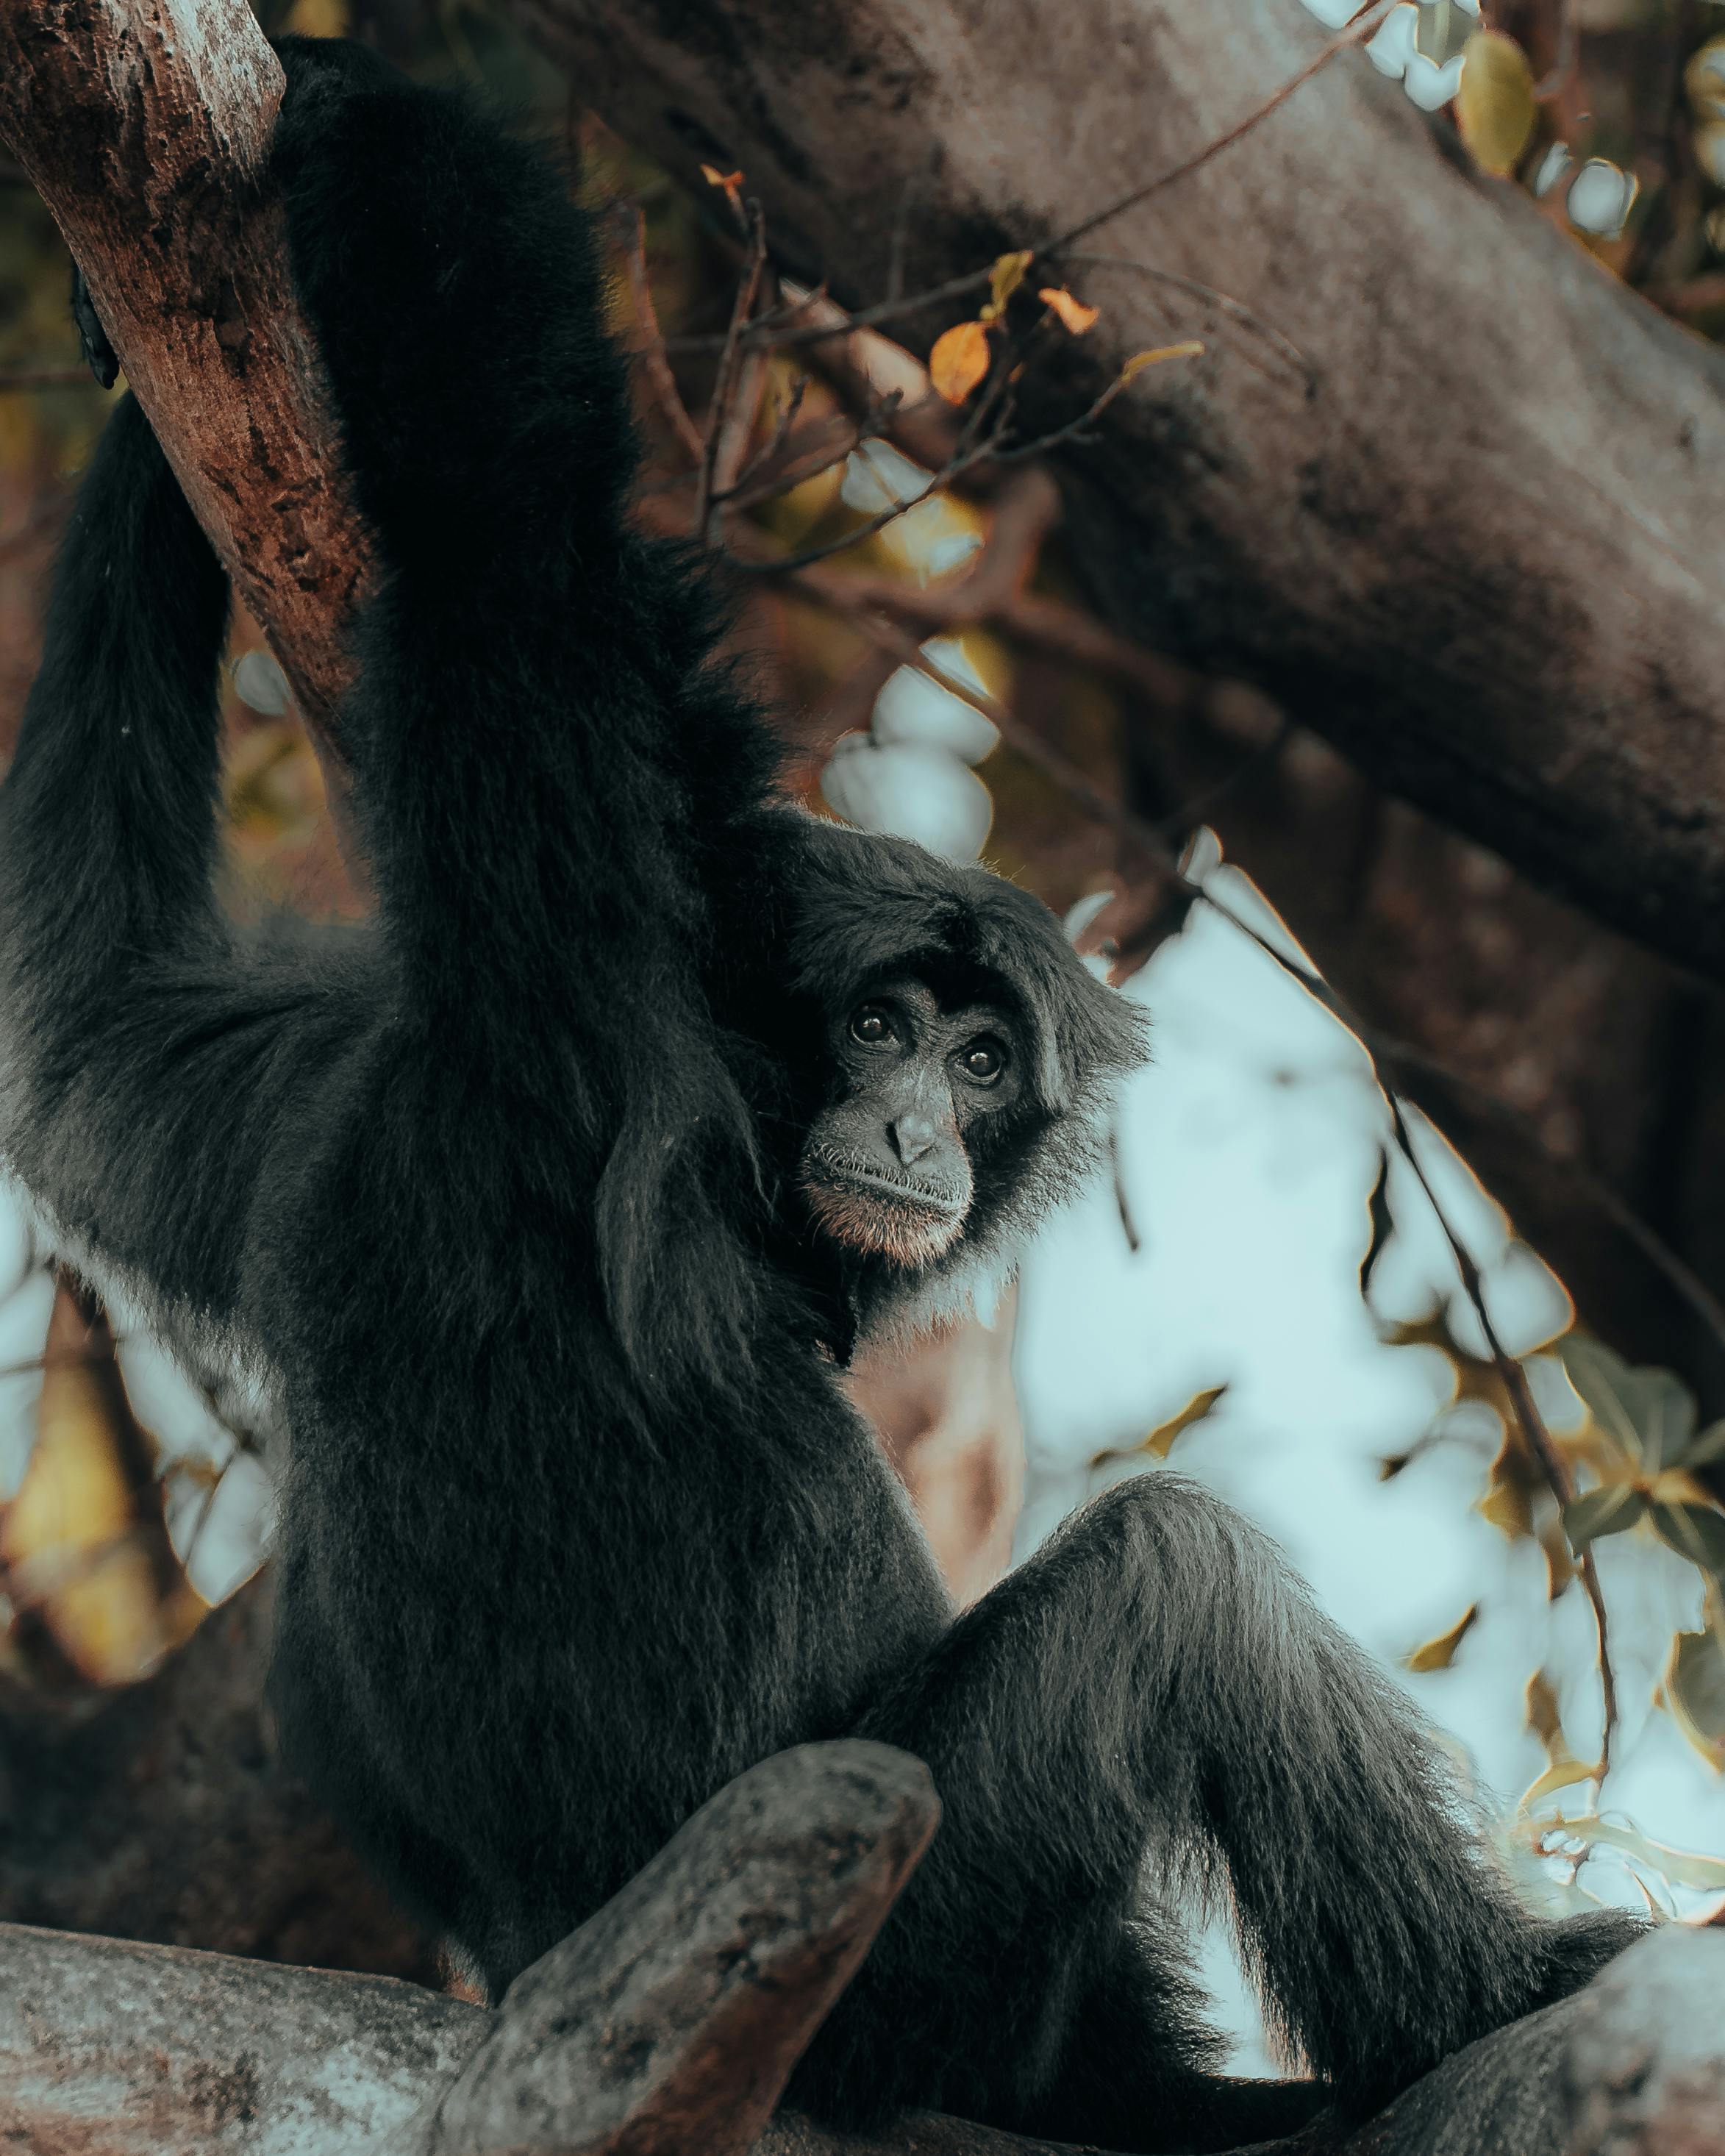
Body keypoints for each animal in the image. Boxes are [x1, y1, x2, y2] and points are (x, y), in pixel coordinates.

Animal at [0, 37, 1638, 2155]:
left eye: (982, 1058)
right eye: (883, 1027)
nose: (923, 1125)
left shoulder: (298, 1083)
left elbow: (83, 1026)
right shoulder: (578, 1010)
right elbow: (514, 541)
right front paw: (378, 100)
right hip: (910, 1951)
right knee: (1174, 1580)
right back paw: (1464, 2004)